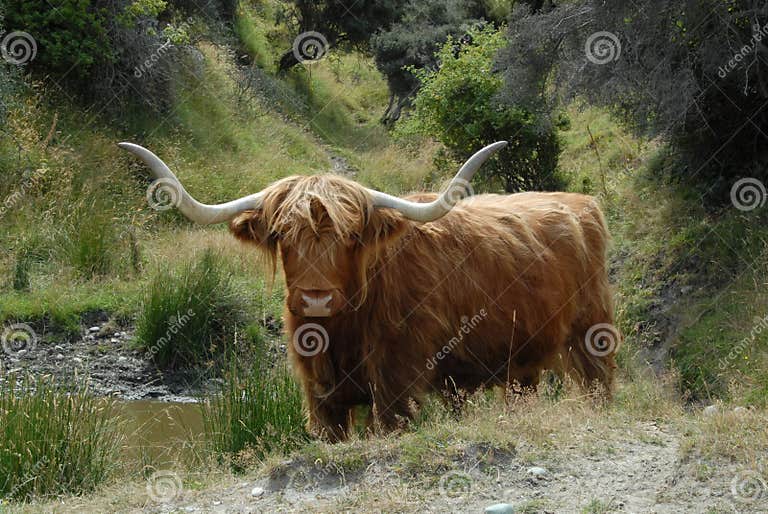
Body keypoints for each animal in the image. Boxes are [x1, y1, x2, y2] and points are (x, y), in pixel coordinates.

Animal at [119, 141, 619, 441]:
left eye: (350, 238)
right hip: (522, 361)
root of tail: (581, 202)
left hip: (591, 337)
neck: (342, 332)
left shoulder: (396, 383)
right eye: (281, 236)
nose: (316, 299)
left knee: (599, 386)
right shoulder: (320, 395)